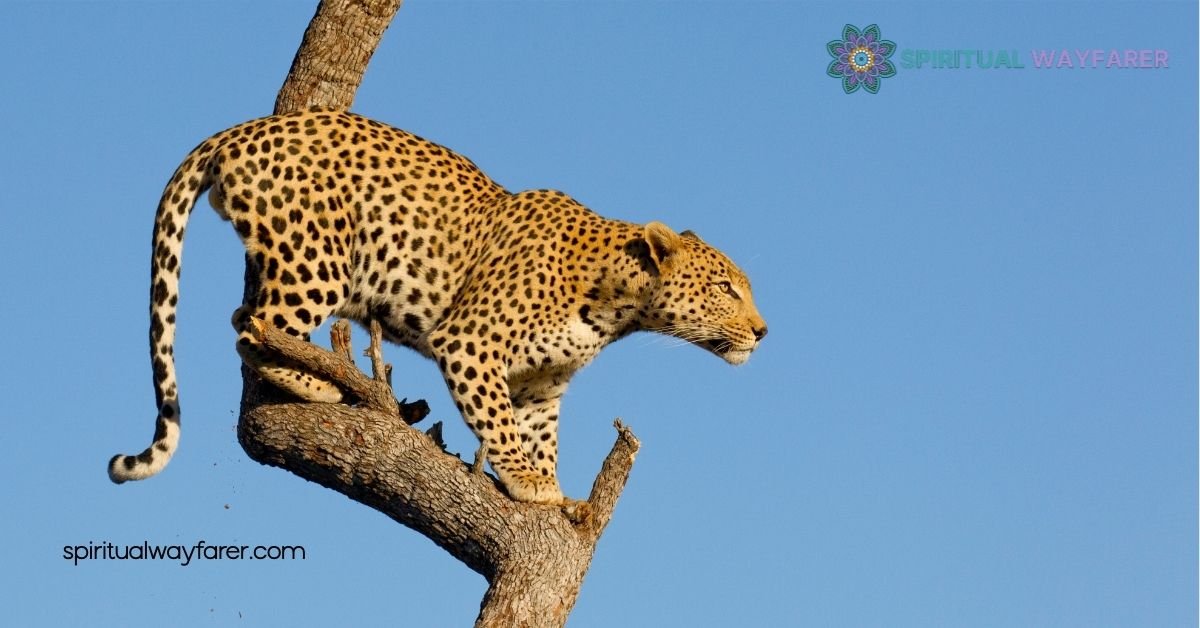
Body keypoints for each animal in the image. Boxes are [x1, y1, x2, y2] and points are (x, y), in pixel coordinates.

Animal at [109, 108, 767, 504]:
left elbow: (539, 434)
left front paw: (553, 490)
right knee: (252, 328)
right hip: (318, 263)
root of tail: (239, 130)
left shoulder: (543, 385)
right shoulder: (471, 344)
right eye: (726, 288)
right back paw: (321, 383)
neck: (617, 307)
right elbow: (498, 423)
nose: (763, 332)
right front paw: (528, 481)